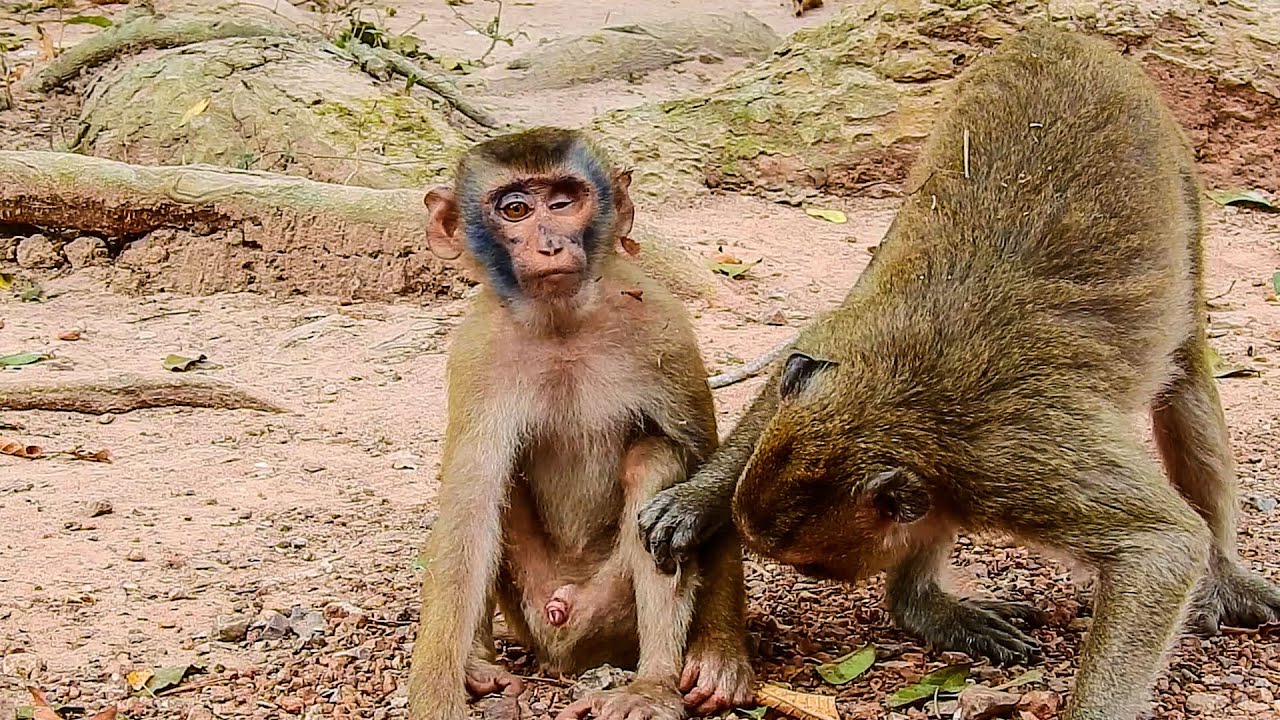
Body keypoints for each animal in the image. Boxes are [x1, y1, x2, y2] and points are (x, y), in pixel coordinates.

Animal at [408, 127, 754, 720]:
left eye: (565, 202)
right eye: (516, 209)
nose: (550, 244)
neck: (562, 322)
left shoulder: (662, 327)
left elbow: (702, 464)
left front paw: (720, 656)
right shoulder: (478, 354)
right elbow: (468, 509)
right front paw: (437, 693)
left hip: (611, 615)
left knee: (653, 459)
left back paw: (651, 686)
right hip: (529, 607)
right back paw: (477, 662)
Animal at [642, 23, 1280, 720]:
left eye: (813, 570)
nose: (826, 578)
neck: (902, 401)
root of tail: (1055, 35)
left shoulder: (1017, 464)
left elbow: (1160, 545)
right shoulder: (858, 348)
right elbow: (800, 354)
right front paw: (694, 502)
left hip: (1181, 168)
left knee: (1186, 369)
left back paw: (1224, 574)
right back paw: (920, 607)